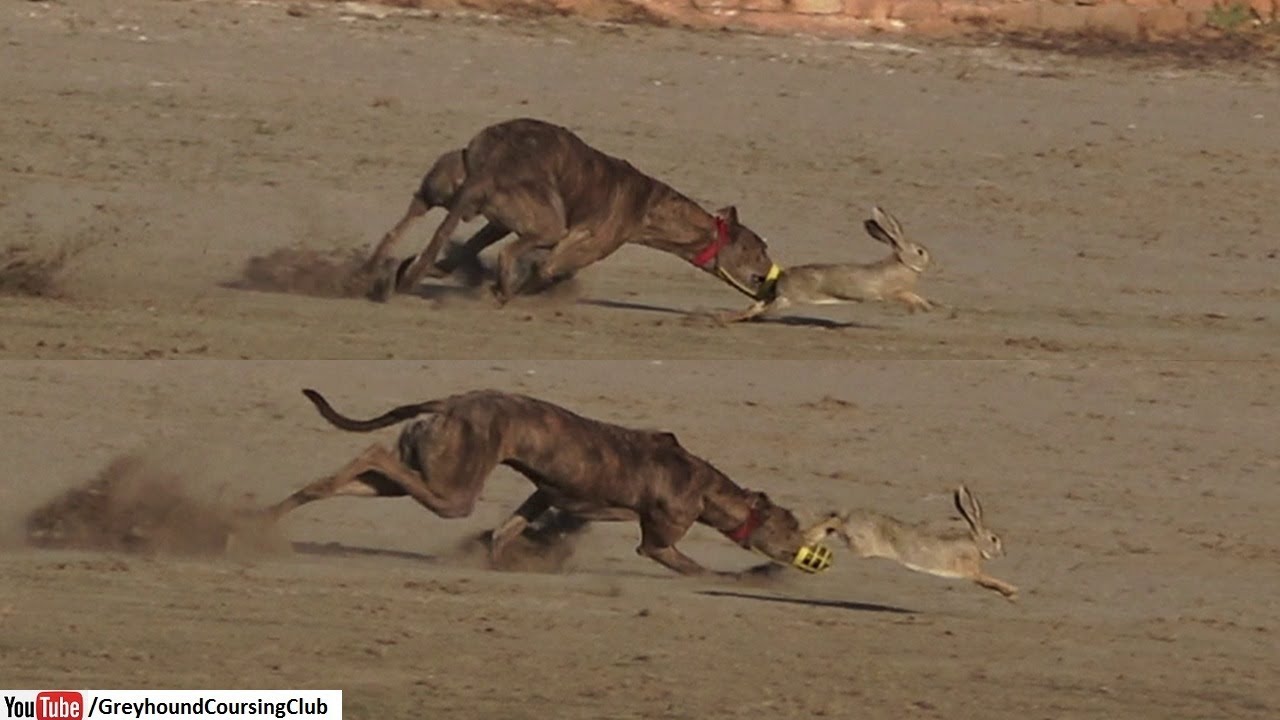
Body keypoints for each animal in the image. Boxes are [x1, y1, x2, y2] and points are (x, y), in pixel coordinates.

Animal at [718, 206, 933, 323]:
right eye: (920, 252)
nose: (930, 261)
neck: (903, 264)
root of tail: (781, 277)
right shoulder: (891, 291)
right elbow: (908, 296)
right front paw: (922, 307)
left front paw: (925, 307)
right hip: (789, 299)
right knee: (761, 309)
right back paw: (727, 320)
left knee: (756, 306)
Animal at [804, 486, 1019, 601]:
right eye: (994, 539)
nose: (1004, 553)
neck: (975, 544)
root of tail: (850, 516)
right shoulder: (972, 571)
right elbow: (989, 580)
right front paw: (1013, 591)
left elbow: (989, 585)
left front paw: (1010, 595)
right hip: (862, 546)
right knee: (834, 522)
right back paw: (808, 535)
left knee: (831, 522)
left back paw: (809, 536)